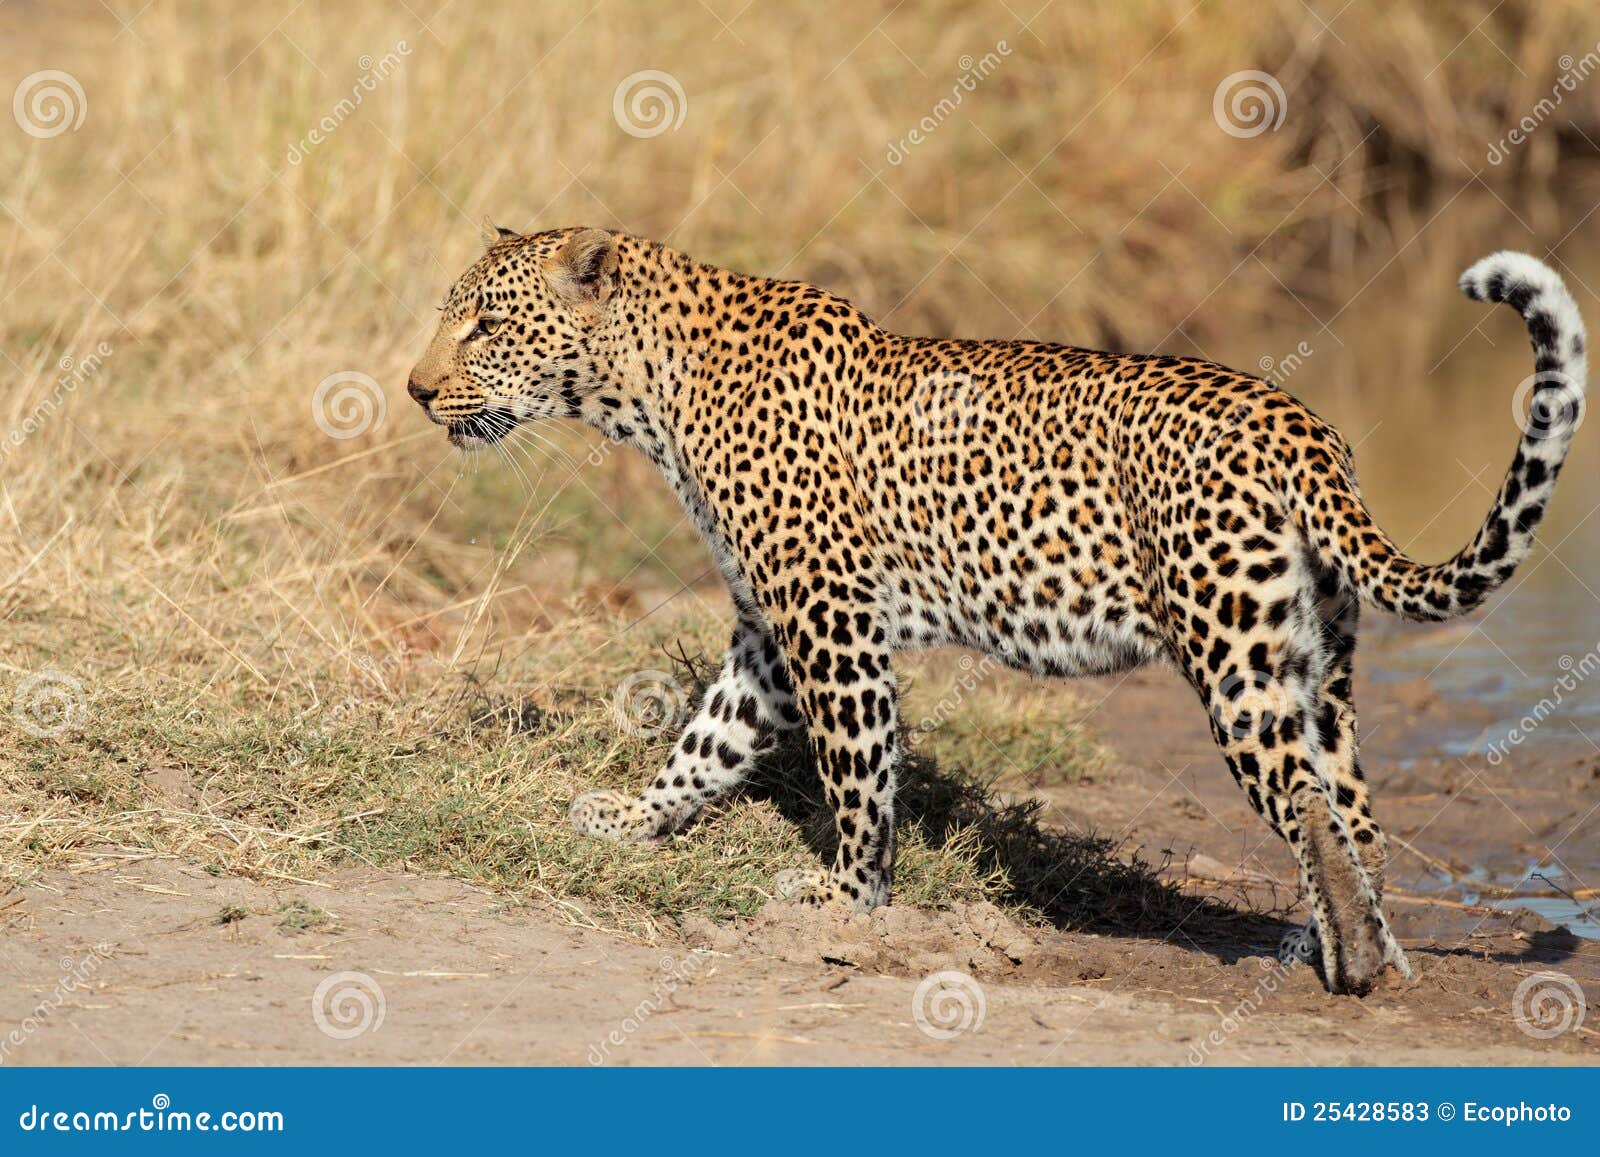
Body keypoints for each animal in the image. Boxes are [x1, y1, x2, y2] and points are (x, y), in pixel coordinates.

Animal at [407, 222, 1587, 995]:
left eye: (483, 325)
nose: (417, 390)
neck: (646, 393)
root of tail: (1300, 425)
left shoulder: (828, 618)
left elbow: (856, 770)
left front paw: (846, 901)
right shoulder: (768, 629)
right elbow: (707, 739)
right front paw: (630, 817)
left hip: (1233, 657)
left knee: (1306, 799)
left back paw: (1348, 961)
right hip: (1315, 658)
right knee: (1354, 804)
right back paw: (1377, 951)